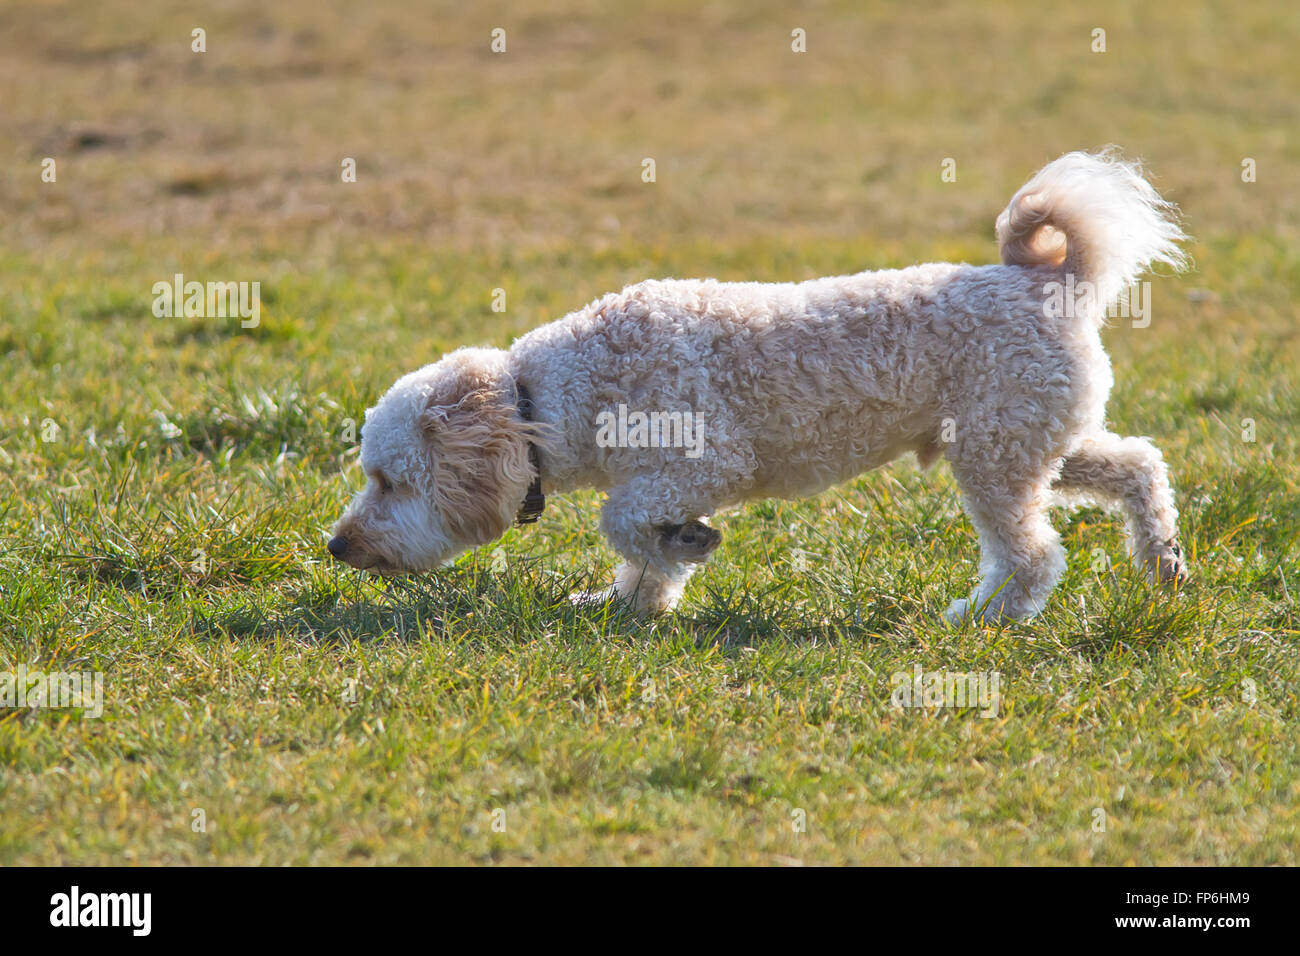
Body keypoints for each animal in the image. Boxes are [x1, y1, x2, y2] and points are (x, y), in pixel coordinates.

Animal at [332, 150, 1190, 624]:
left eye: (388, 480)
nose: (336, 546)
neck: (542, 399)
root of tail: (1050, 279)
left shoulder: (703, 463)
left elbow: (622, 519)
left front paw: (682, 548)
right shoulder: (671, 479)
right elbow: (644, 555)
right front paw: (630, 601)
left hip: (994, 457)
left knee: (1033, 555)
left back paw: (983, 618)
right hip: (1035, 438)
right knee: (1139, 464)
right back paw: (1163, 559)